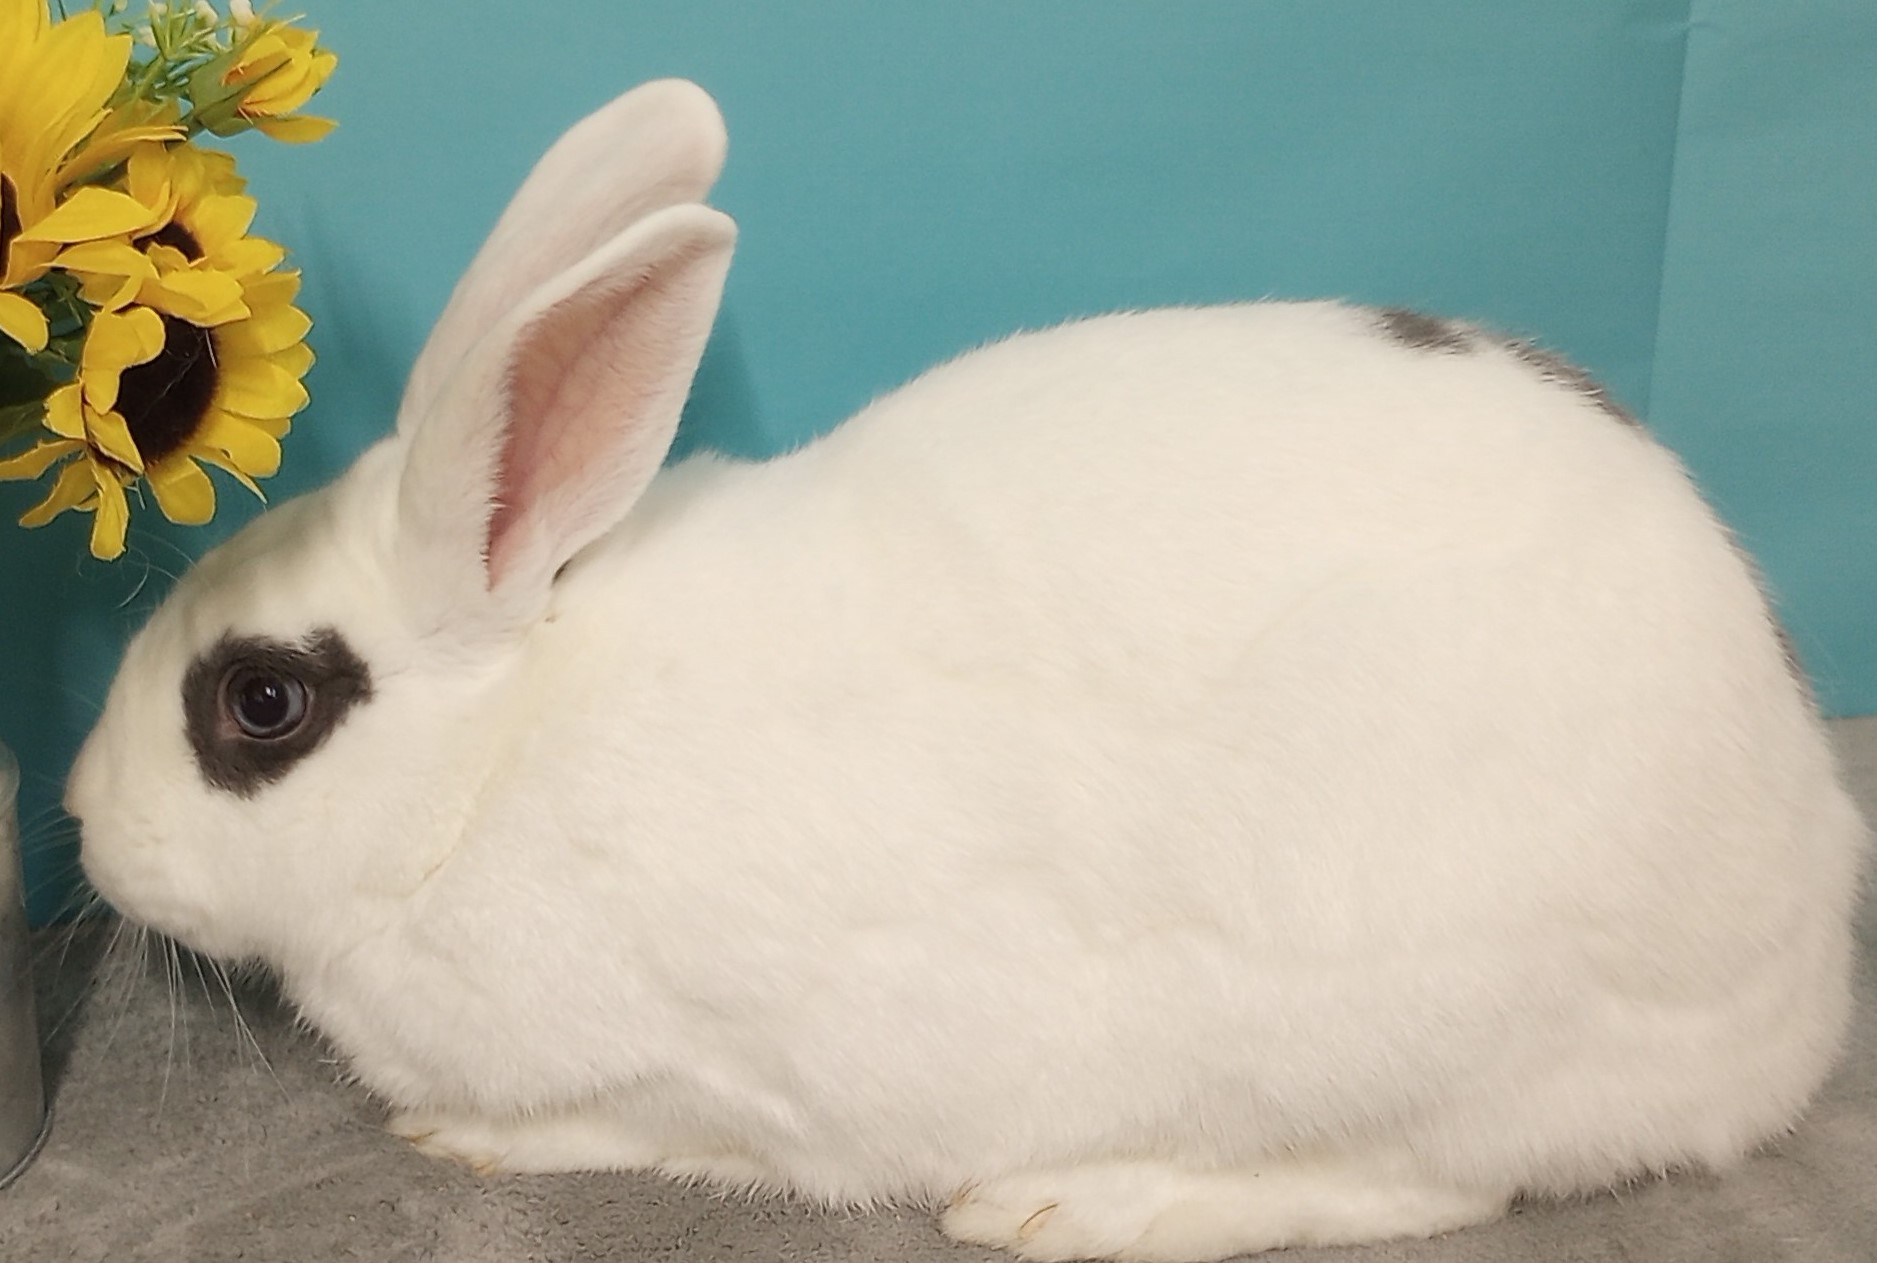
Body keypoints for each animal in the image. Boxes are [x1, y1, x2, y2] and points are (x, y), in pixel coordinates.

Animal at [66, 78, 1865, 1263]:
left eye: (263, 702)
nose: (80, 818)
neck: (491, 762)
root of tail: (1800, 936)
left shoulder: (725, 1068)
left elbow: (630, 1120)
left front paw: (462, 1132)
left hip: (1420, 1022)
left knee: (1438, 1179)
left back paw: (1081, 1199)